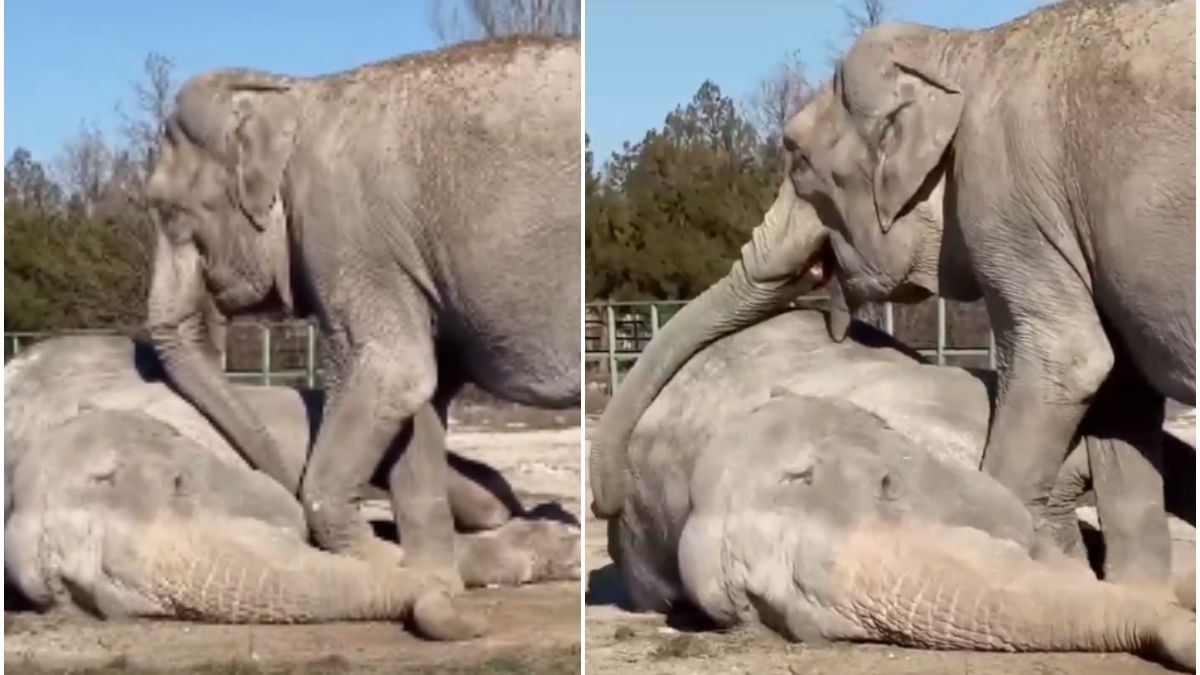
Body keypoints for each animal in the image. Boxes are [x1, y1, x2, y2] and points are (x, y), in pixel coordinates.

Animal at [143, 36, 581, 577]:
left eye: (166, 211)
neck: (295, 92)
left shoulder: (348, 237)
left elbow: (397, 371)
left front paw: (392, 565)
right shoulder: (405, 261)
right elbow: (424, 393)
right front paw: (429, 575)